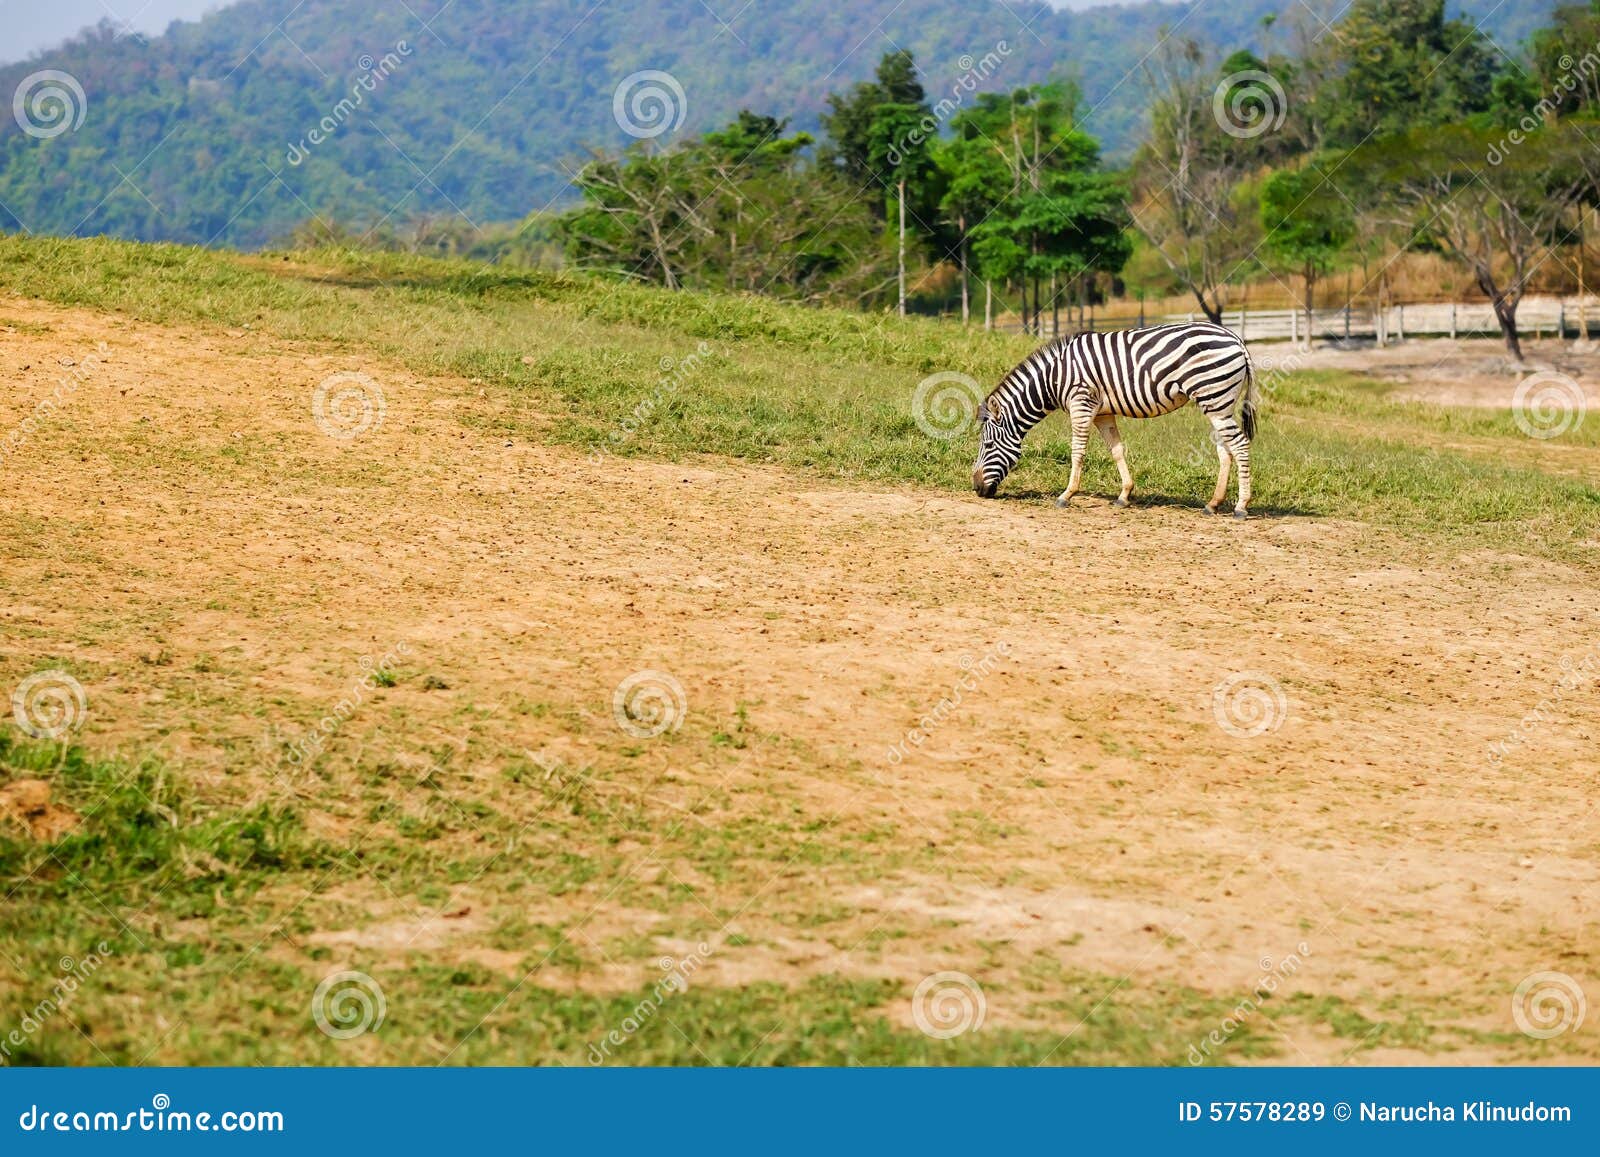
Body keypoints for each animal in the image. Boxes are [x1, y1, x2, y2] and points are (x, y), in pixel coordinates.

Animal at [971, 321, 1259, 518]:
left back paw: (1241, 506)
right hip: (1218, 403)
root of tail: (1236, 338)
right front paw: (1124, 494)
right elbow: (1117, 450)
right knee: (1225, 449)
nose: (975, 488)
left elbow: (1077, 451)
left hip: (1215, 397)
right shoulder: (1103, 413)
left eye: (987, 446)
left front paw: (1066, 495)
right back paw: (1213, 504)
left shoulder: (1081, 404)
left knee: (1240, 445)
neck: (1053, 378)